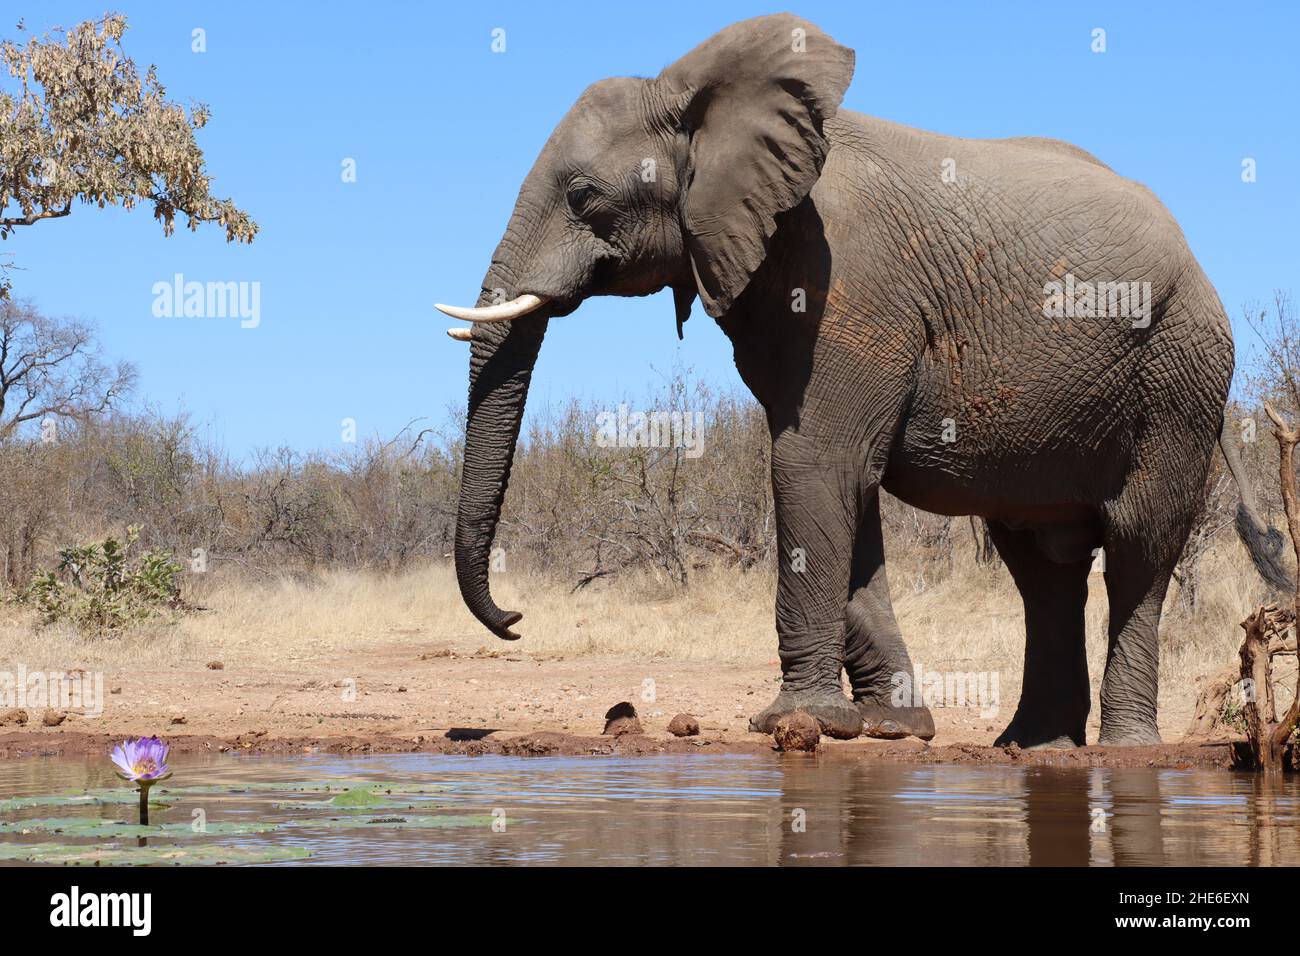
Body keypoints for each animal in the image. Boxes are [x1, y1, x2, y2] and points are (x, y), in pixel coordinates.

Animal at [437, 14, 1287, 747]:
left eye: (583, 196)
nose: (515, 618)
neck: (706, 100)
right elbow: (845, 481)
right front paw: (888, 728)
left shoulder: (847, 280)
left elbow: (812, 464)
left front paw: (792, 721)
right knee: (1042, 563)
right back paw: (1032, 746)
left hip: (1180, 371)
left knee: (1139, 544)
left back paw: (1123, 747)